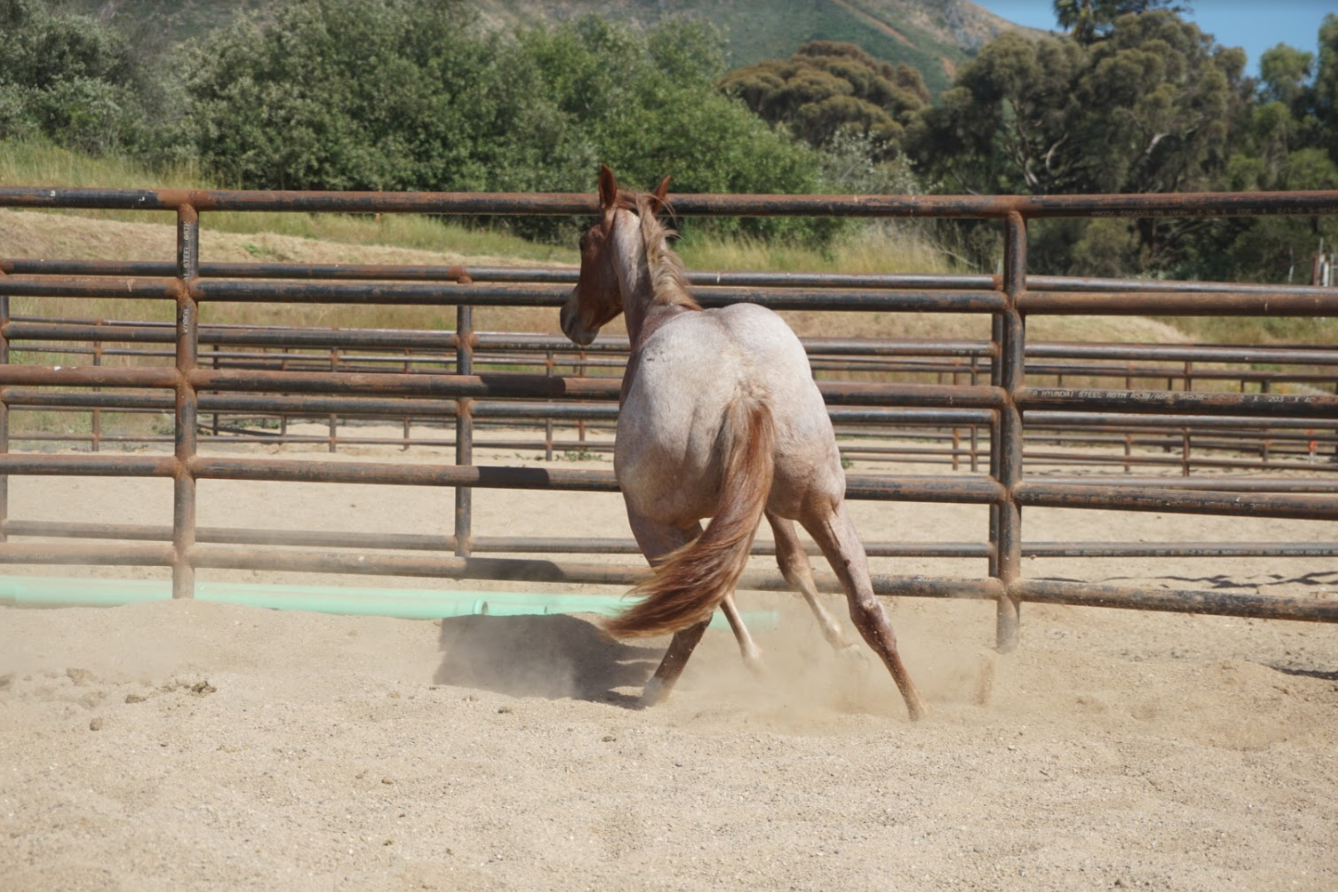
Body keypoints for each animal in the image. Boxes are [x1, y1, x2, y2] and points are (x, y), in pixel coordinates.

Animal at [559, 166, 926, 721]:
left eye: (585, 241)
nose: (569, 318)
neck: (662, 312)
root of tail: (743, 388)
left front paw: (758, 659)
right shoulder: (765, 501)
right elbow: (793, 566)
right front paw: (839, 646)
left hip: (653, 522)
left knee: (695, 602)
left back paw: (657, 688)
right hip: (822, 504)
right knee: (867, 606)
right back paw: (914, 705)